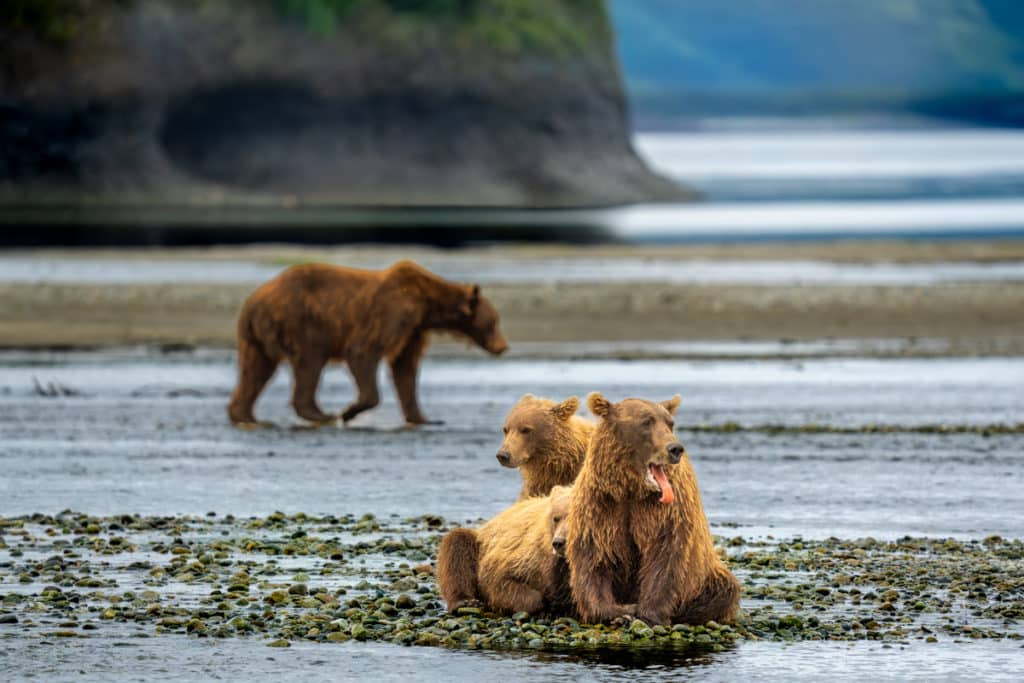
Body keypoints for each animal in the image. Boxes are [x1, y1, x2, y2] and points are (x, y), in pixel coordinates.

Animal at [227, 260, 508, 426]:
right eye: (494, 321)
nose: (503, 346)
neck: (427, 306)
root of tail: (253, 301)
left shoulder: (413, 330)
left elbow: (405, 369)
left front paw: (424, 418)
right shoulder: (393, 312)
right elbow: (363, 351)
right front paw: (349, 411)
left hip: (255, 336)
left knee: (255, 370)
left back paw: (245, 415)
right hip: (302, 322)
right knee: (309, 363)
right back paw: (323, 414)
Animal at [437, 485, 573, 616]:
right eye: (556, 518)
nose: (559, 542)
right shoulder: (528, 555)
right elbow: (498, 578)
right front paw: (541, 606)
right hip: (478, 544)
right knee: (457, 546)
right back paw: (465, 601)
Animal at [565, 392, 740, 627]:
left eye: (670, 423)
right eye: (646, 422)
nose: (675, 449)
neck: (631, 489)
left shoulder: (665, 510)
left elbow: (665, 554)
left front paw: (648, 613)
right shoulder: (601, 505)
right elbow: (595, 556)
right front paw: (618, 612)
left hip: (705, 575)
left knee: (725, 590)